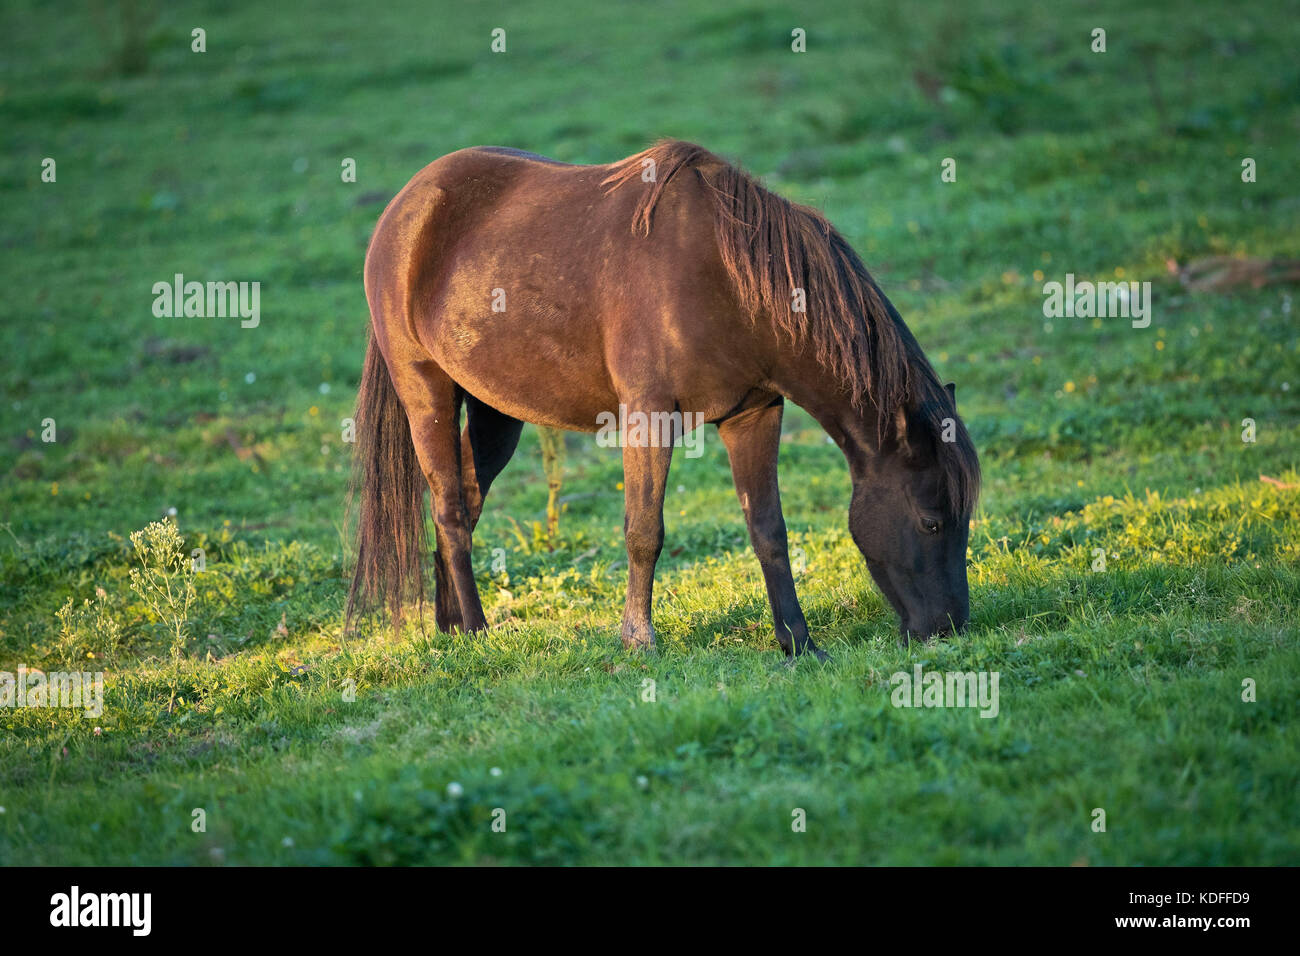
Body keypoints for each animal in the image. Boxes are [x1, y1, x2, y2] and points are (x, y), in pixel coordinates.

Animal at [347, 140, 980, 658]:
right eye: (931, 522)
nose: (948, 629)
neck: (727, 276)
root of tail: (405, 207)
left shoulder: (754, 414)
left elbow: (769, 531)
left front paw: (800, 645)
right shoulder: (648, 417)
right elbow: (644, 531)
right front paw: (638, 639)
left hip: (495, 411)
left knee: (465, 503)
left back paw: (450, 628)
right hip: (425, 391)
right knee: (451, 510)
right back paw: (477, 632)